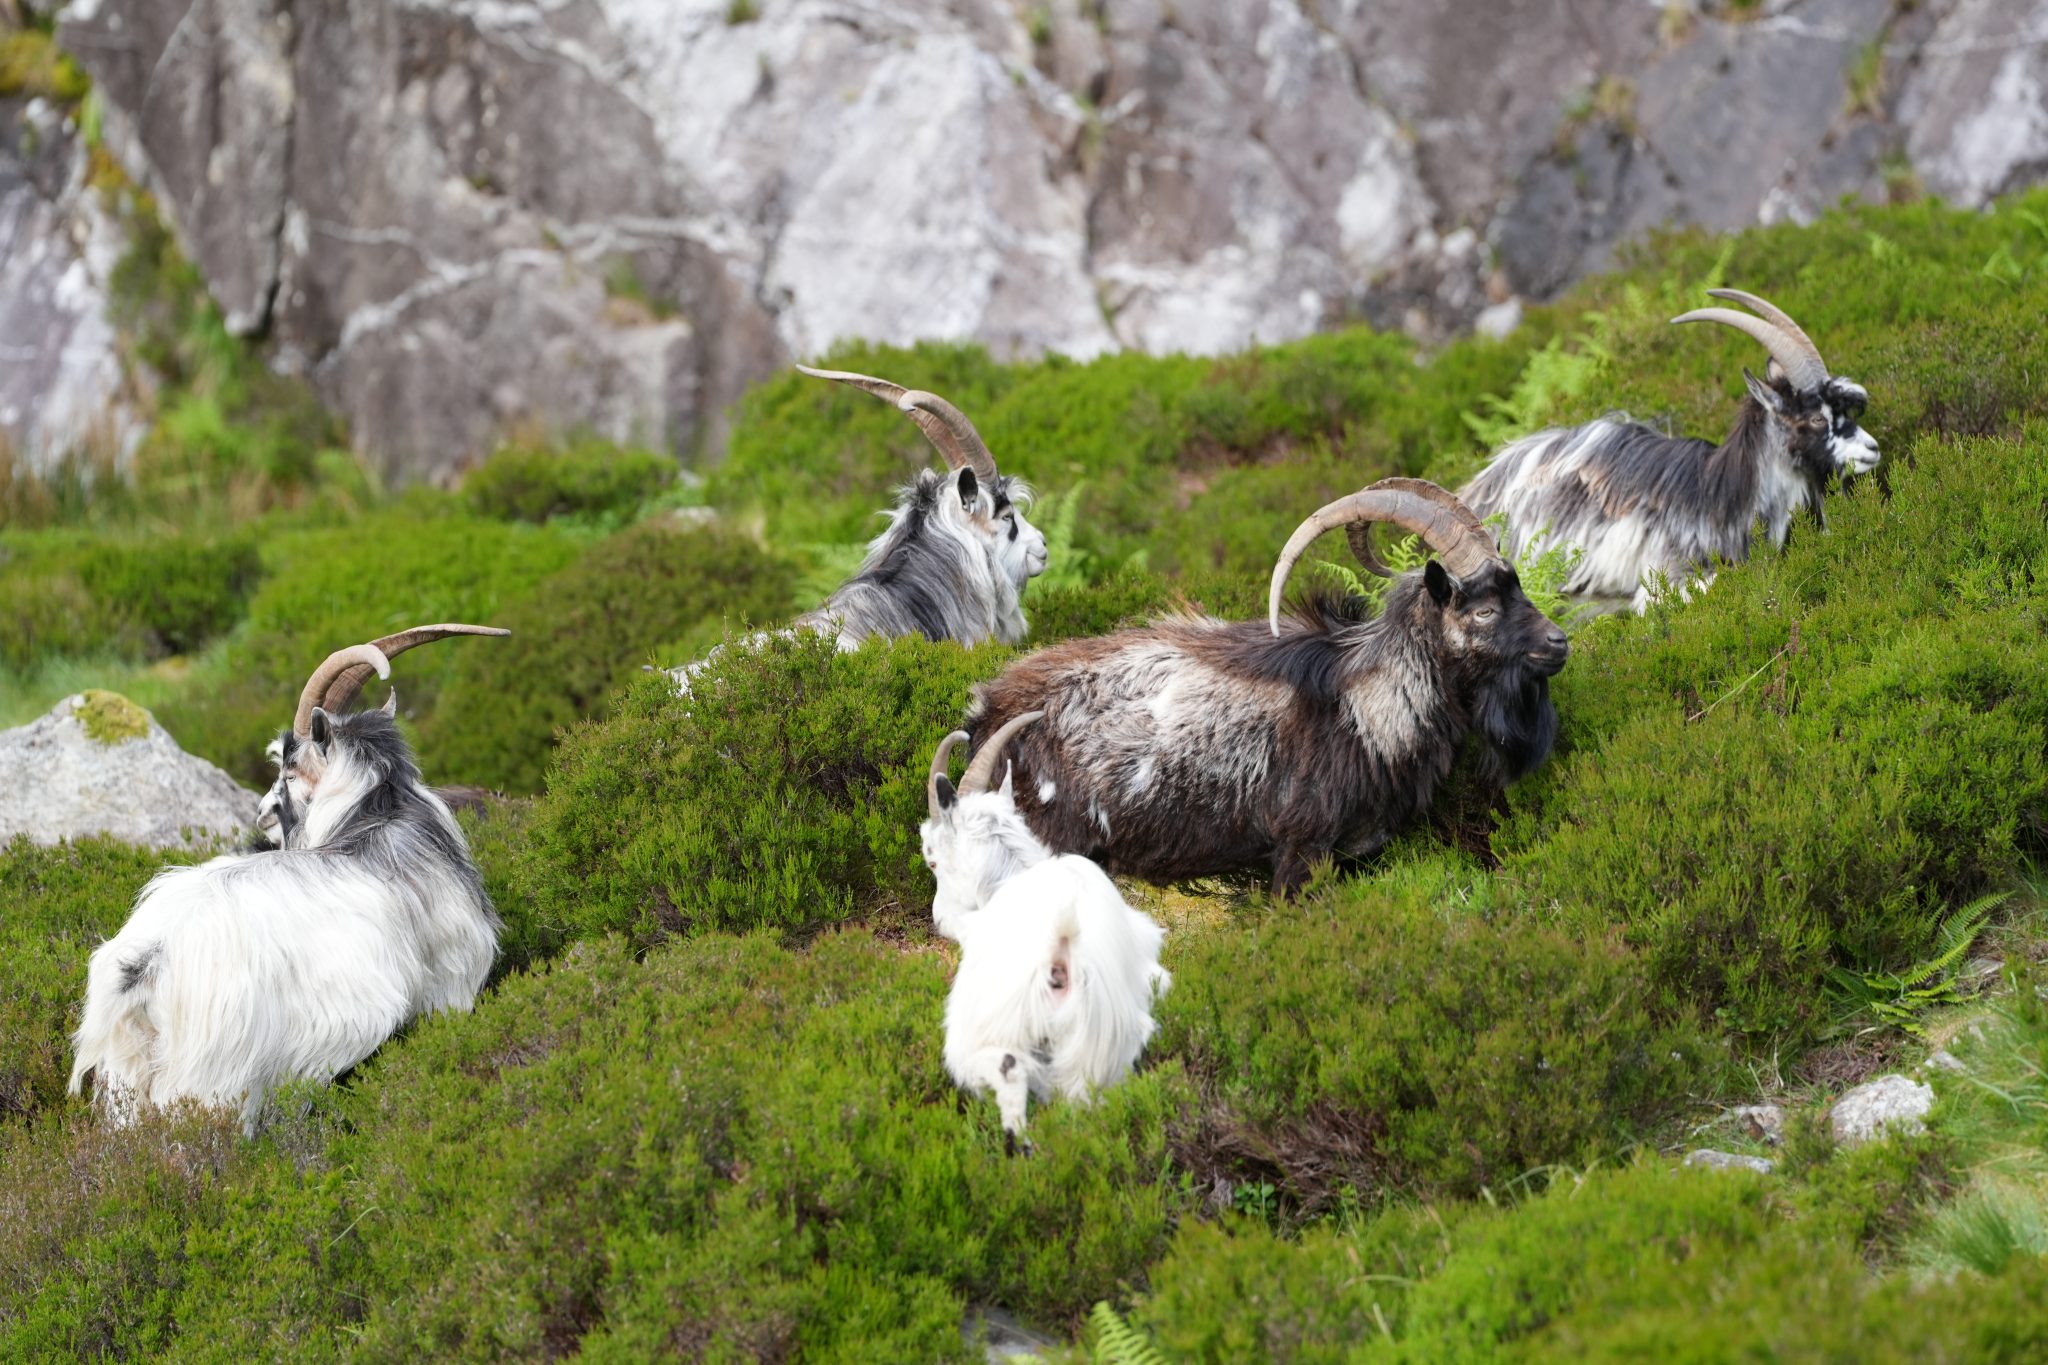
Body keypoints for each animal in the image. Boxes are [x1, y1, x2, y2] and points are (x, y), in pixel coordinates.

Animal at [71, 626, 507, 1130]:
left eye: (289, 771)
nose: (261, 814)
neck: (376, 820)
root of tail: (145, 962)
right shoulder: (450, 990)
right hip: (213, 1083)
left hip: (127, 1079)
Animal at [964, 479, 1569, 898]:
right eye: (1484, 609)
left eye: (1518, 589)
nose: (1558, 642)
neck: (1363, 704)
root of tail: (987, 712)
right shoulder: (1302, 847)